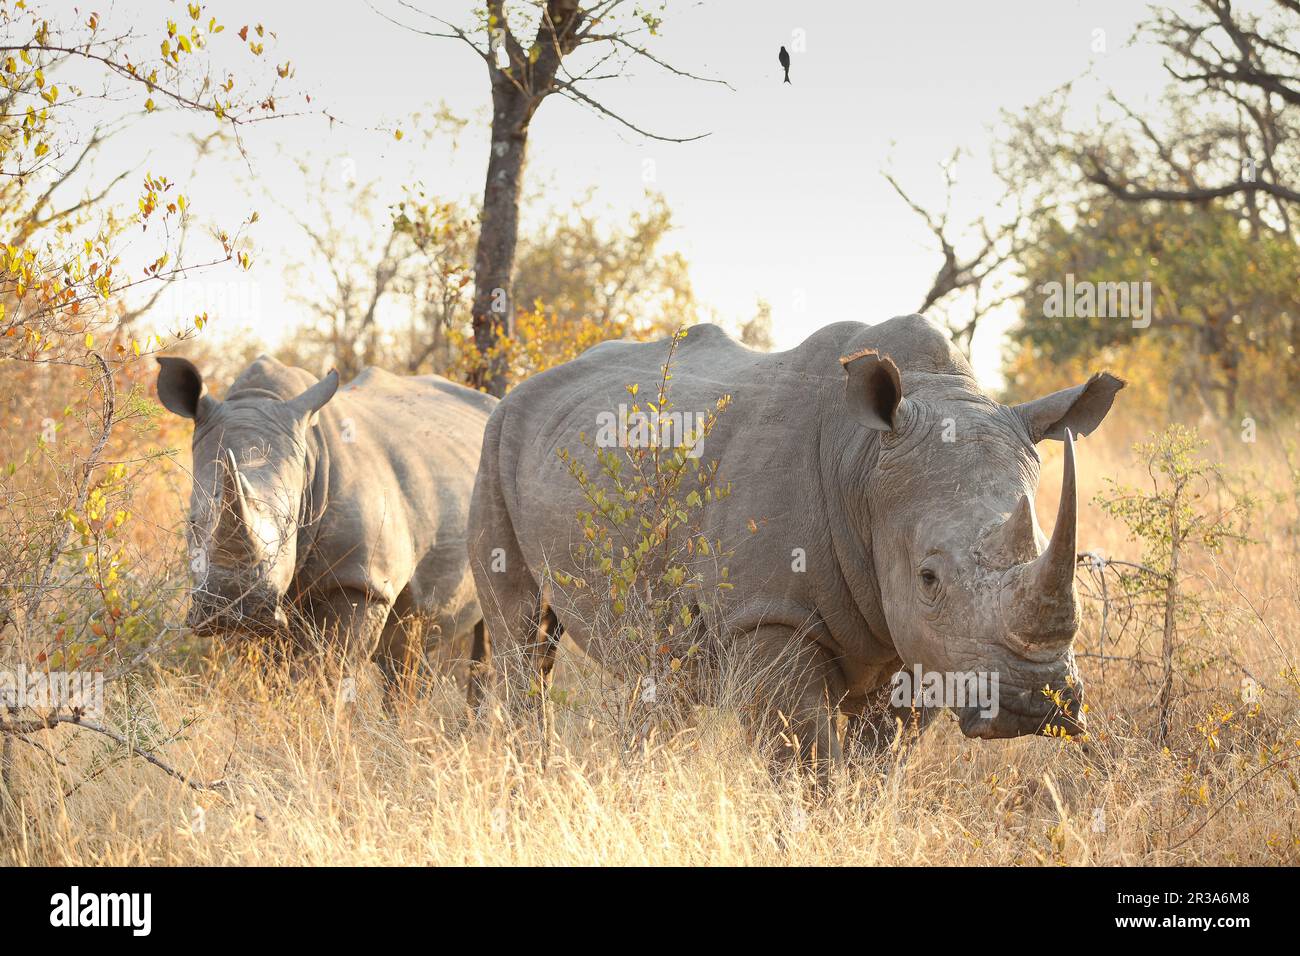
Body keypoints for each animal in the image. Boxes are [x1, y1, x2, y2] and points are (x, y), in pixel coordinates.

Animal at [156, 354, 496, 689]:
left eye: (289, 524)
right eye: (193, 522)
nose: (233, 609)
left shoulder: (360, 579)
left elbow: (329, 670)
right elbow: (266, 674)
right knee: (411, 643)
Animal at [467, 315, 1123, 763]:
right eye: (929, 578)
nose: (1035, 701)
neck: (863, 465)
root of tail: (521, 388)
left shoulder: (933, 643)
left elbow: (877, 763)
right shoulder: (767, 614)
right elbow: (806, 761)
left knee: (659, 671)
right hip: (494, 442)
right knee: (522, 637)